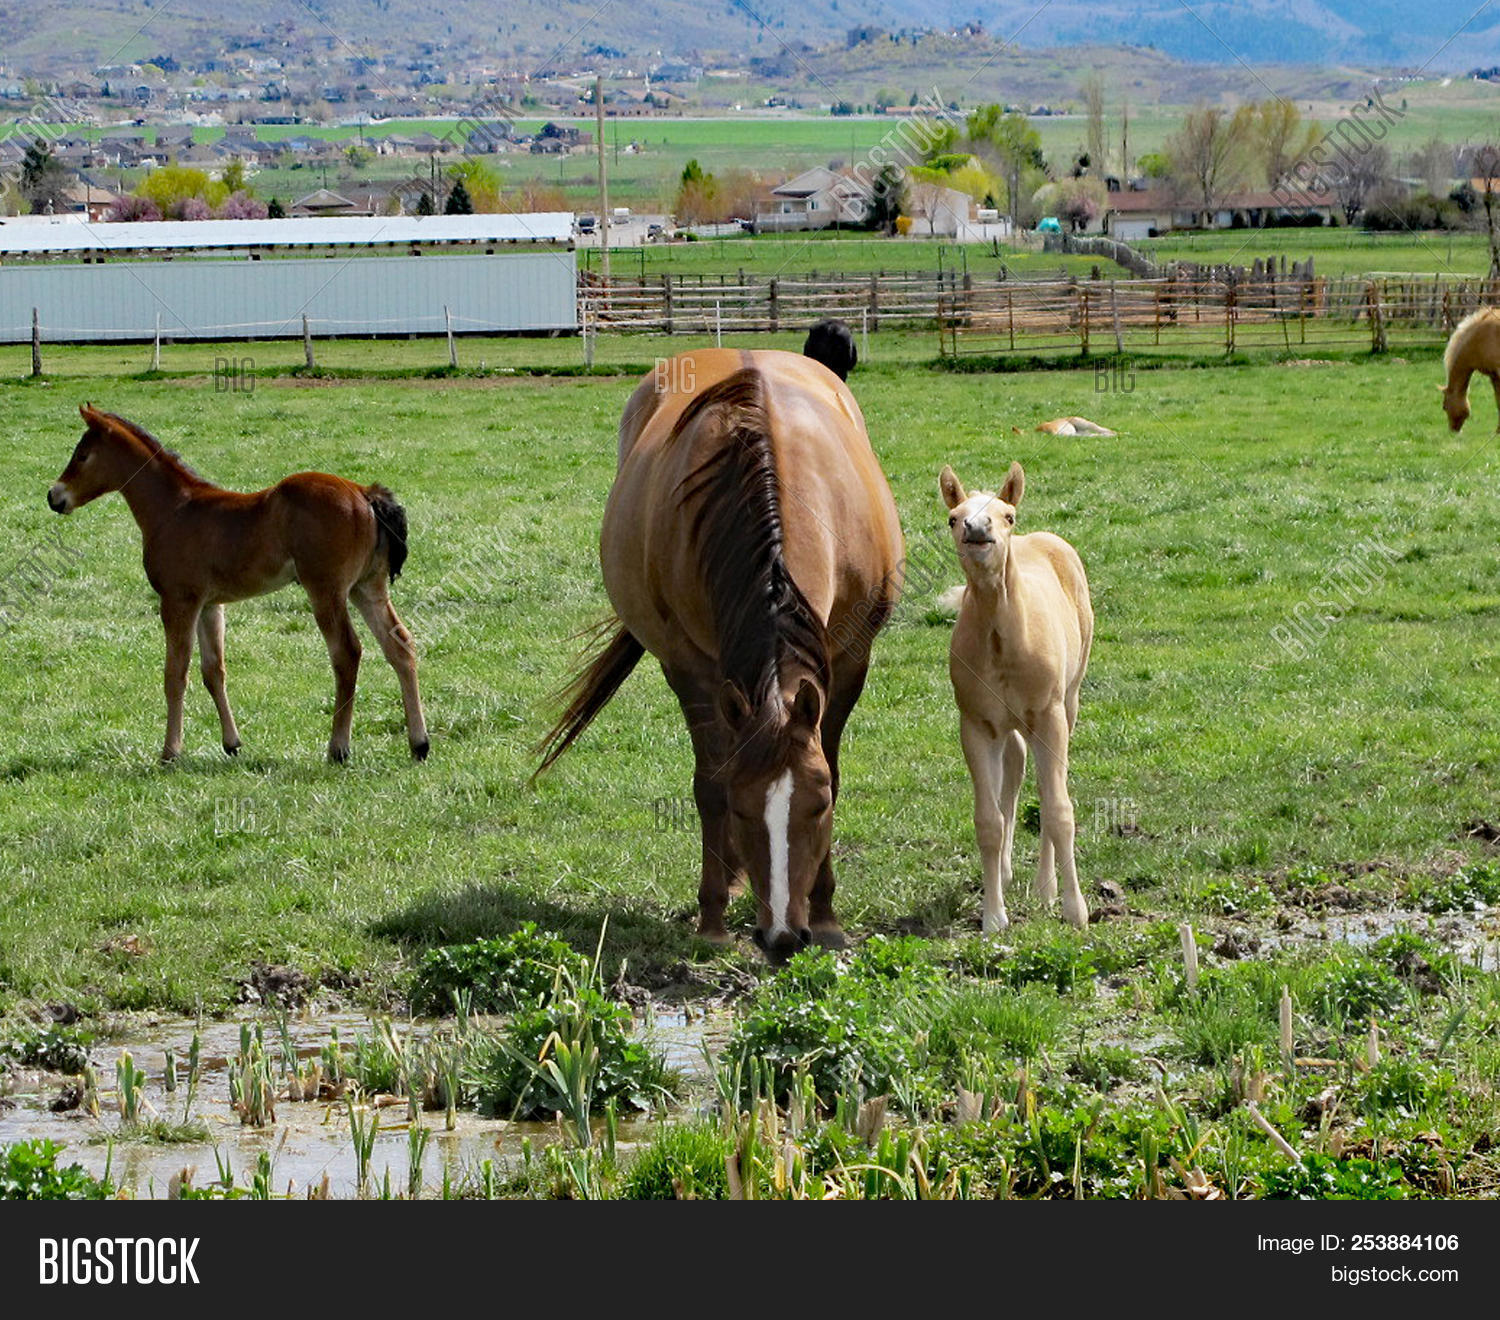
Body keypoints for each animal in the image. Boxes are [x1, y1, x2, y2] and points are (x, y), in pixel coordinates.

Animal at [48, 404, 429, 764]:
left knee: (347, 653)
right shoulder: (209, 605)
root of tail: (365, 494)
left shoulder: (178, 601)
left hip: (326, 590)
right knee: (400, 645)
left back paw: (338, 748)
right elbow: (213, 671)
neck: (174, 509)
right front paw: (232, 744)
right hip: (367, 587)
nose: (55, 497)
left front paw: (170, 752)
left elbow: (176, 674)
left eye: (82, 455)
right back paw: (419, 744)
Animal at [537, 349, 905, 960]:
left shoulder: (852, 660)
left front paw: (826, 913)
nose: (783, 937)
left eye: (818, 807)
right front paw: (712, 917)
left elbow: (831, 765)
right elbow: (709, 784)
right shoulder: (691, 670)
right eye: (742, 807)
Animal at [940, 461, 1093, 932]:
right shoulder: (976, 723)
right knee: (1015, 766)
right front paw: (993, 915)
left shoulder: (1049, 716)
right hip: (1008, 723)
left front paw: (1074, 909)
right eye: (953, 518)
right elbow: (988, 820)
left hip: (1069, 700)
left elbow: (1057, 809)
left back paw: (1045, 888)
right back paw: (1006, 873)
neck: (1000, 641)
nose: (976, 529)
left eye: (1008, 515)